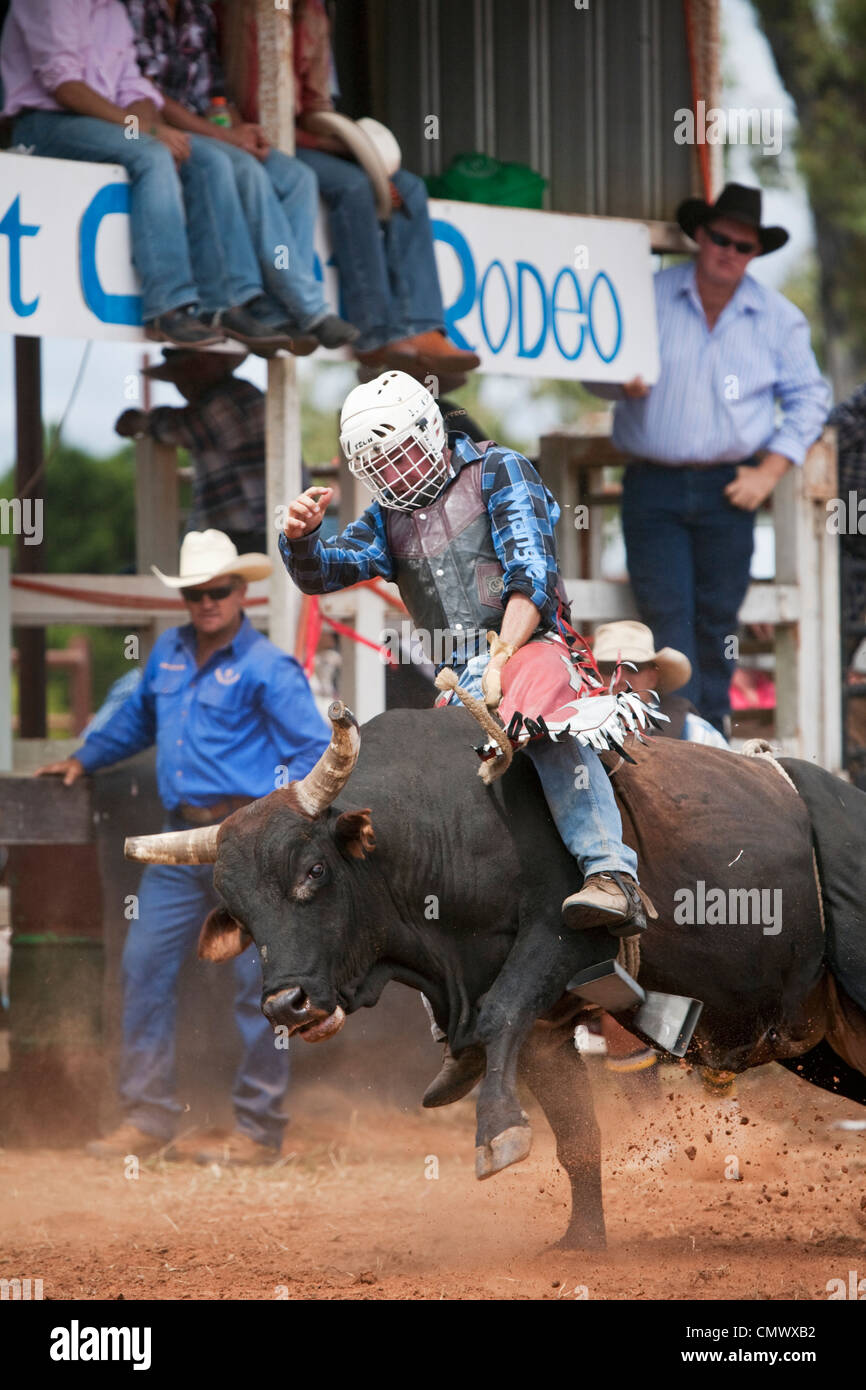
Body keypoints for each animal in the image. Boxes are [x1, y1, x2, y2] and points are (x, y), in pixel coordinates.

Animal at [125, 702, 866, 1250]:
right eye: (242, 914)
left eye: (314, 871)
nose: (285, 1004)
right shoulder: (547, 1024)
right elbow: (576, 1134)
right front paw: (582, 1242)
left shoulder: (558, 943)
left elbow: (499, 1018)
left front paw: (498, 1137)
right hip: (823, 1044)